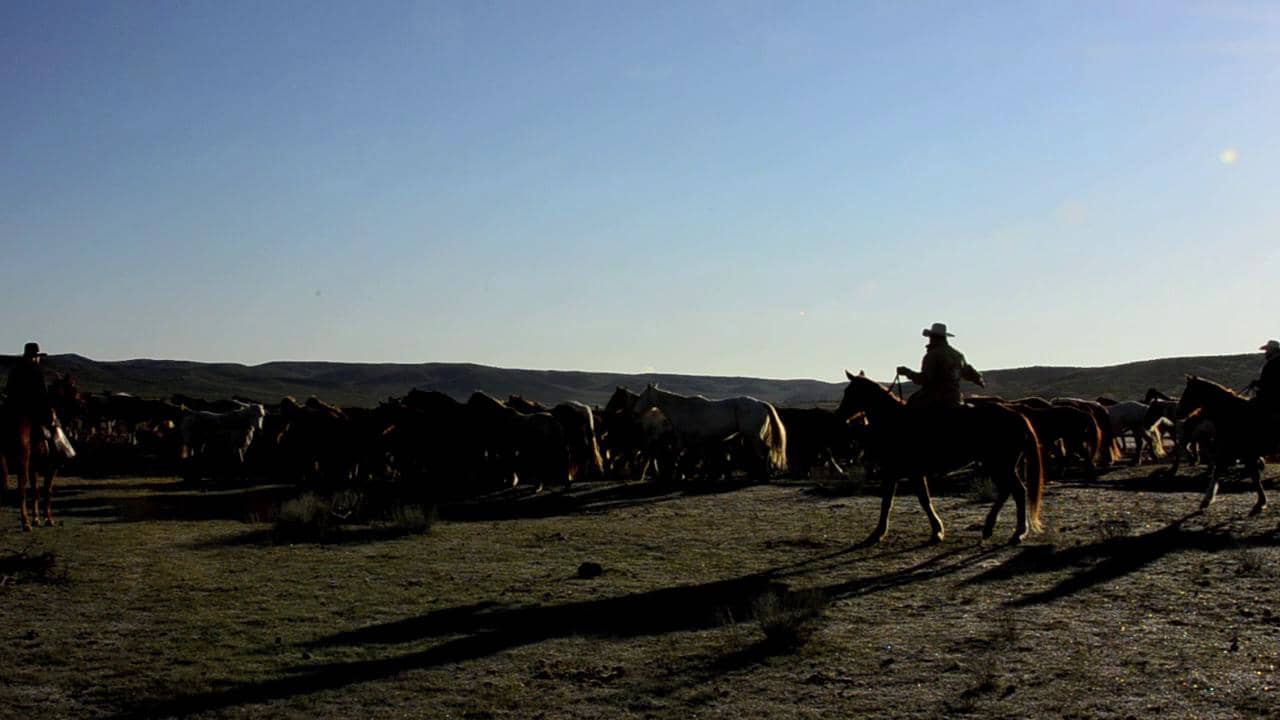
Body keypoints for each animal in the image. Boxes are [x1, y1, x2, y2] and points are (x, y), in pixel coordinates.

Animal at [628, 384, 787, 481]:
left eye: (642, 396)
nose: (634, 412)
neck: (684, 409)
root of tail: (760, 403)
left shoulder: (686, 441)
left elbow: (677, 457)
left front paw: (672, 475)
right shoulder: (697, 442)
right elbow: (698, 458)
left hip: (753, 436)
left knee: (765, 451)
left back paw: (765, 475)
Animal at [836, 371, 1045, 545]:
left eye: (850, 392)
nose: (839, 416)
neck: (894, 421)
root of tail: (1018, 416)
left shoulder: (898, 471)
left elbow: (899, 501)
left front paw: (879, 533)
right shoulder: (904, 472)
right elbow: (914, 499)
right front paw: (936, 531)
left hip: (1000, 464)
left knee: (1017, 491)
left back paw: (1017, 532)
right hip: (998, 465)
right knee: (1008, 491)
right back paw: (990, 528)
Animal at [1176, 375, 1277, 514]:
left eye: (1188, 392)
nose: (1178, 412)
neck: (1230, 414)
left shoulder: (1243, 453)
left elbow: (1254, 477)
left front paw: (1260, 502)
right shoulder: (1231, 453)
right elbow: (1218, 471)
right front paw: (1206, 501)